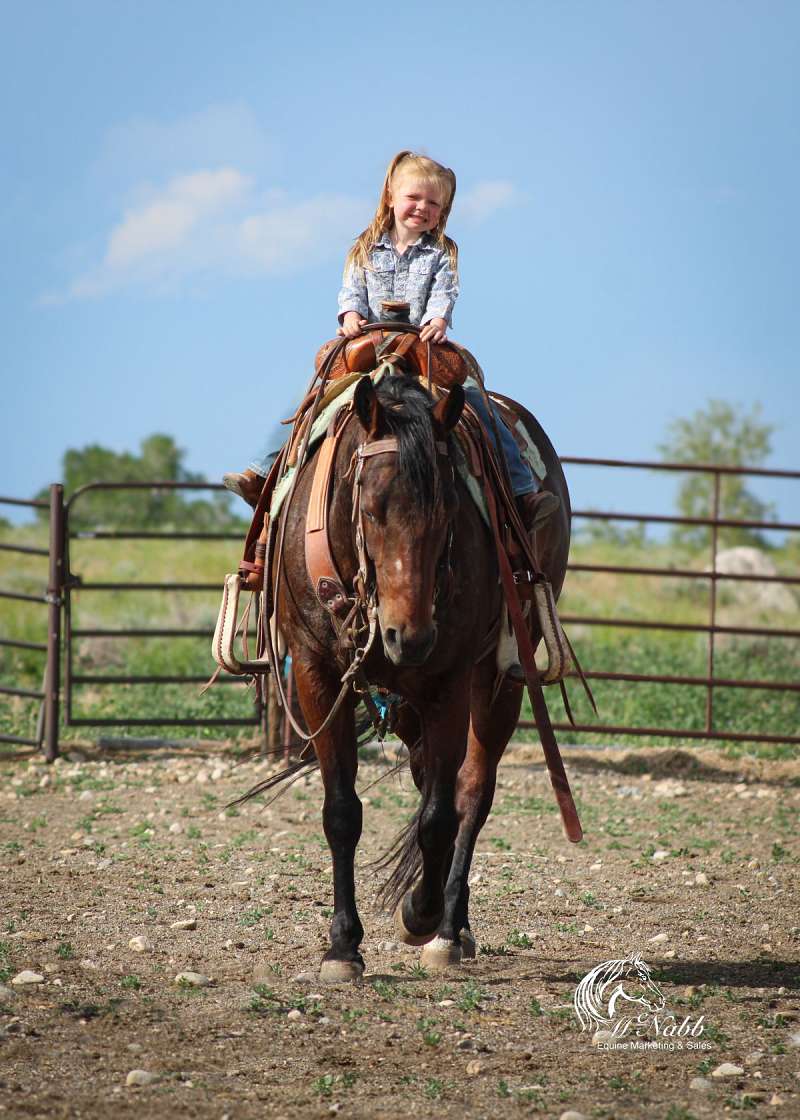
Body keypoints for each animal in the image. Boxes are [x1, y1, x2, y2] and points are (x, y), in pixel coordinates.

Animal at [272, 370, 571, 980]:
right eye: (368, 506)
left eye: (448, 510)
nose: (409, 638)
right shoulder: (316, 674)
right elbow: (342, 812)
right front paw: (342, 947)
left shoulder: (448, 682)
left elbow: (439, 816)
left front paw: (421, 914)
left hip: (499, 678)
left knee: (471, 794)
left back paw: (449, 930)